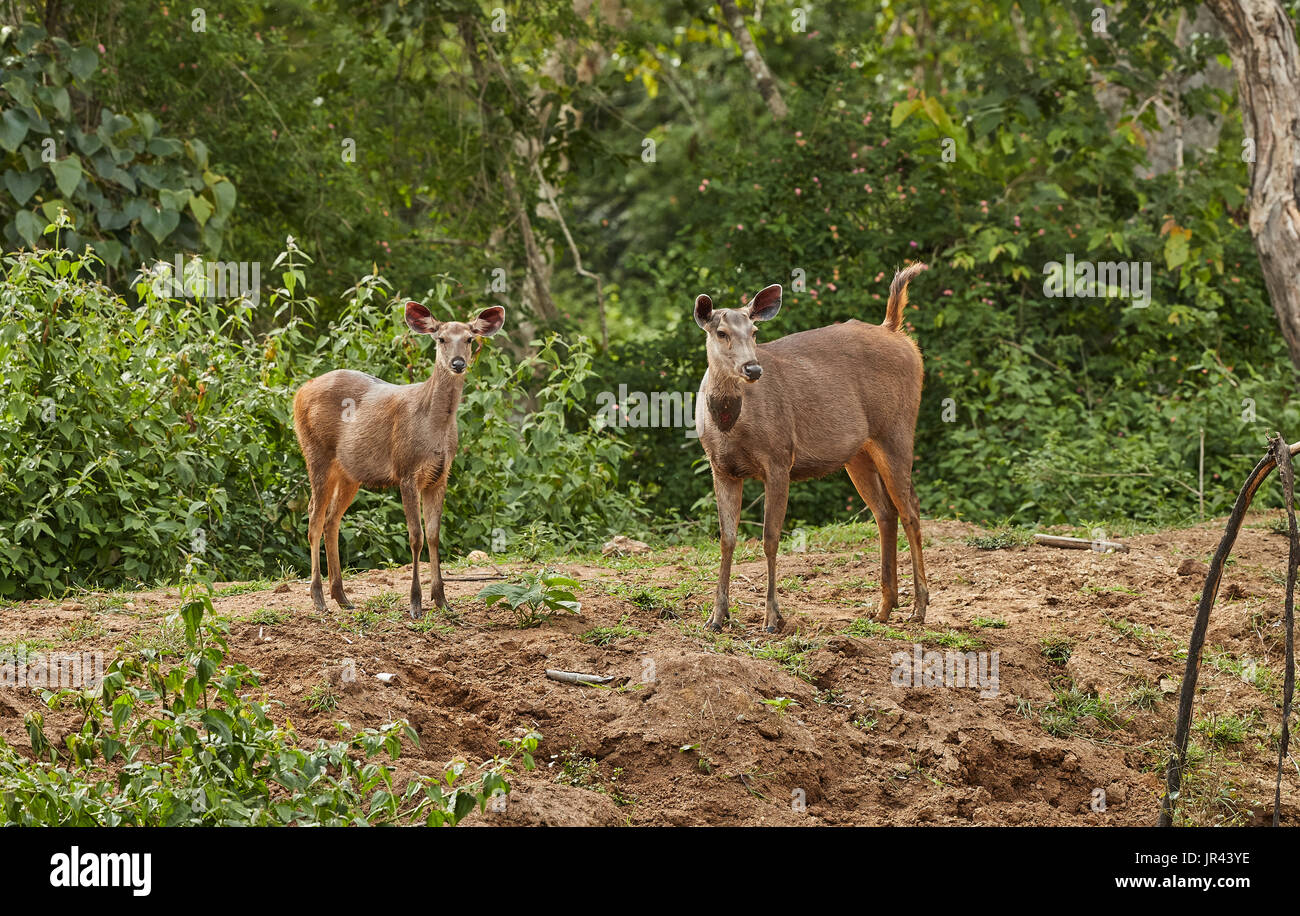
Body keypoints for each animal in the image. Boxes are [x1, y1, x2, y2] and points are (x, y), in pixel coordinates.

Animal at [292, 302, 506, 618]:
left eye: (469, 339)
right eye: (440, 338)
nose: (457, 363)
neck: (435, 429)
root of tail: (299, 392)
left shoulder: (440, 475)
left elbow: (434, 535)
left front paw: (442, 601)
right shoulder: (406, 471)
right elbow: (416, 536)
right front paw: (416, 604)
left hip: (349, 473)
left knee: (331, 520)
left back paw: (342, 597)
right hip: (316, 452)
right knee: (314, 519)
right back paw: (318, 599)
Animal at [693, 264, 929, 633]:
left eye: (755, 331)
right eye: (721, 332)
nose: (753, 368)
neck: (731, 423)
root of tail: (895, 330)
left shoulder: (779, 458)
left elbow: (770, 538)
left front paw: (772, 618)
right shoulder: (721, 468)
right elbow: (727, 538)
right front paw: (717, 618)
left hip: (897, 429)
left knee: (911, 510)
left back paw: (918, 608)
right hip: (858, 452)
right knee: (885, 512)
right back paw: (883, 608)